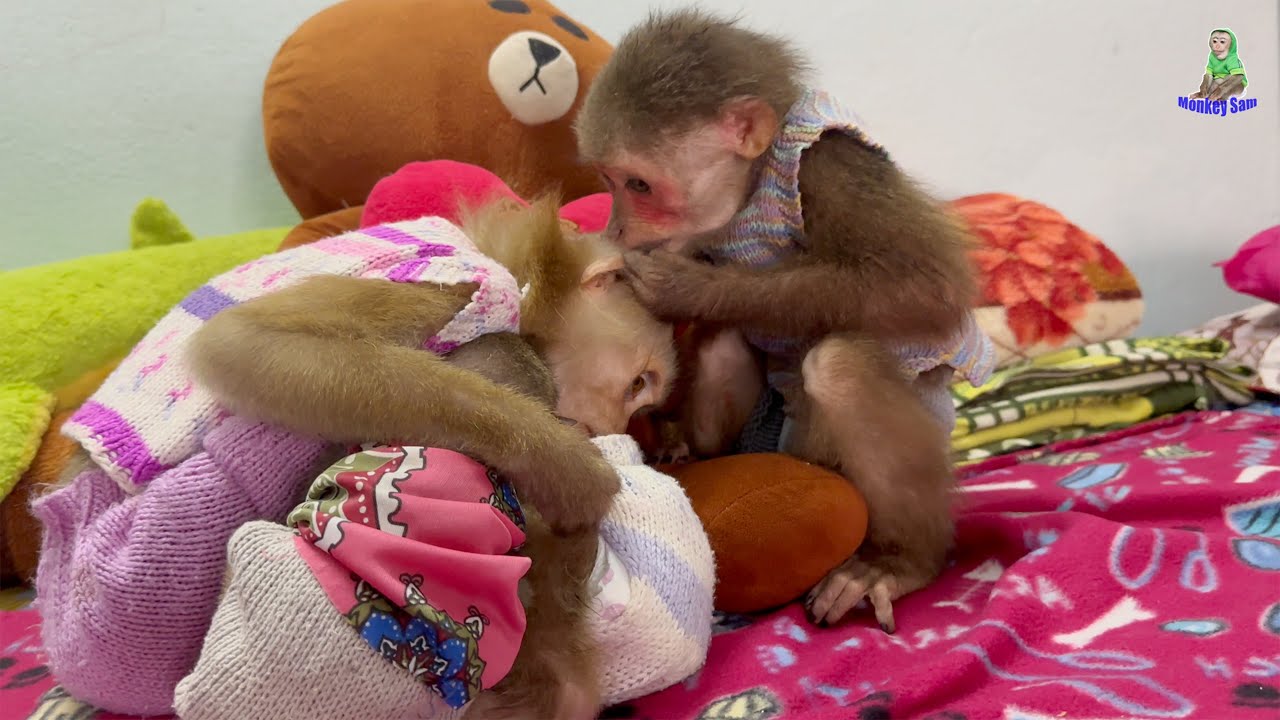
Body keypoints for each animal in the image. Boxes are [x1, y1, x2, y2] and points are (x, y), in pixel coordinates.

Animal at [573, 9, 998, 633]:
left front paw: (688, 289)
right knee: (724, 347)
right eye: (608, 180)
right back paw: (688, 449)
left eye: (640, 185)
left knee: (839, 367)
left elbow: (927, 286)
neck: (750, 193)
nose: (617, 227)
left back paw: (900, 562)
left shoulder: (831, 169)